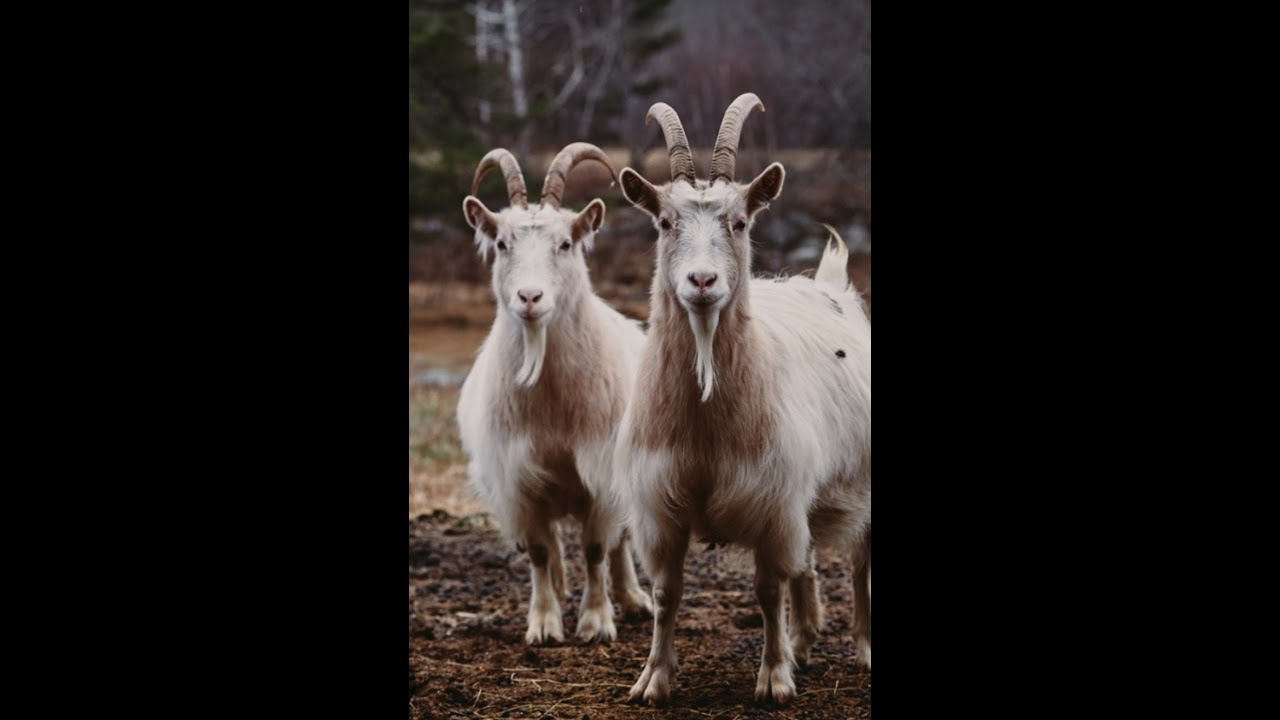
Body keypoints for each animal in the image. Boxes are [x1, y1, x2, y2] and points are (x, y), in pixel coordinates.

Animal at [456, 144, 654, 645]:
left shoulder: (601, 472)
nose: (530, 297)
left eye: (565, 244)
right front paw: (544, 622)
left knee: (620, 541)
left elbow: (598, 546)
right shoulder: (517, 481)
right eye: (502, 244)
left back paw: (633, 598)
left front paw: (597, 622)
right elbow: (540, 552)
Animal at [614, 95, 872, 704]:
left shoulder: (771, 507)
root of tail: (832, 287)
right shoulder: (661, 508)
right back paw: (804, 642)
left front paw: (773, 678)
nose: (702, 281)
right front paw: (654, 678)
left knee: (860, 564)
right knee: (808, 562)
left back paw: (863, 648)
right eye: (665, 222)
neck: (705, 422)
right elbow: (666, 594)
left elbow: (767, 590)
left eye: (740, 221)